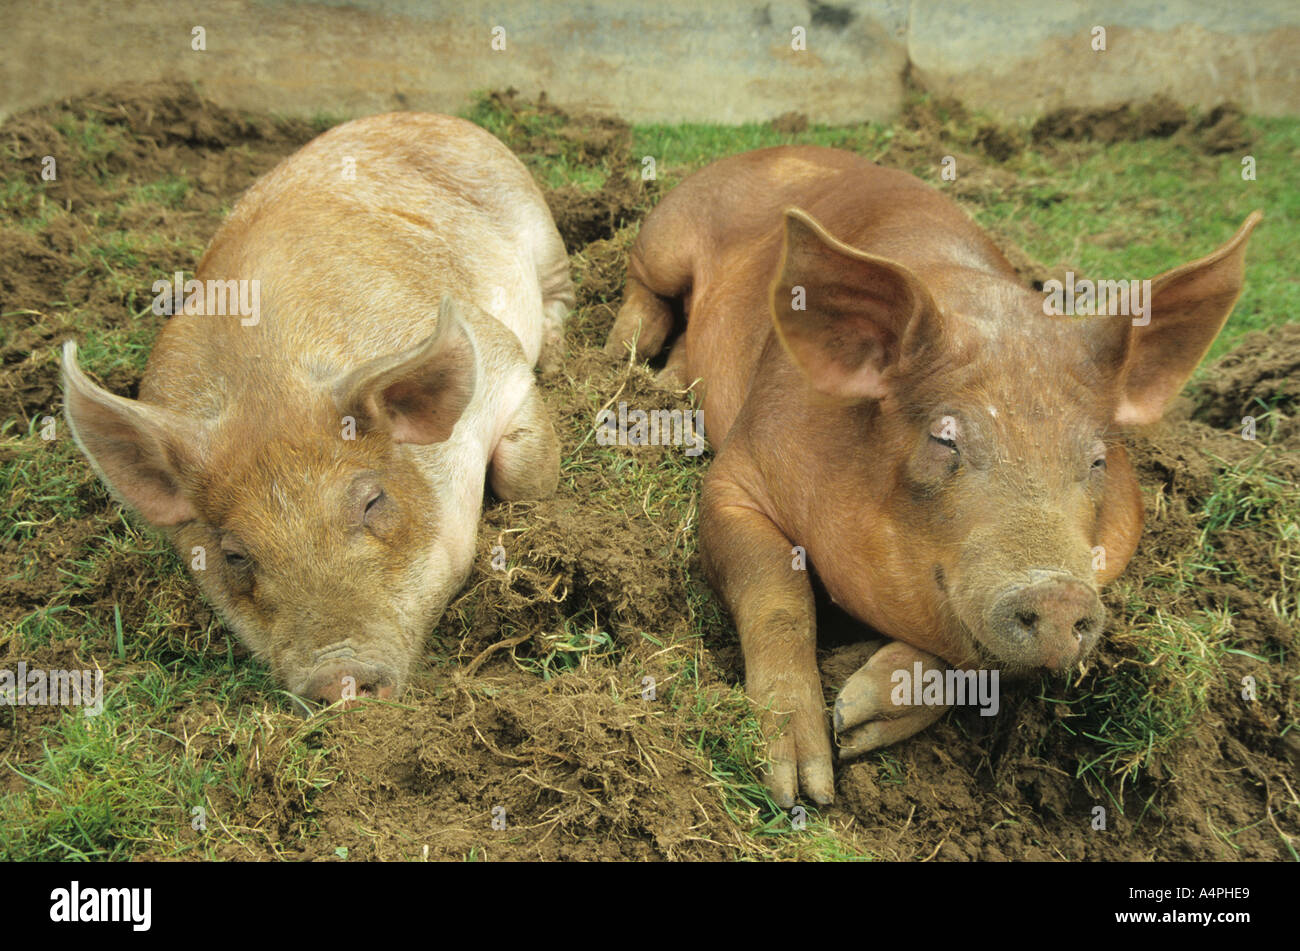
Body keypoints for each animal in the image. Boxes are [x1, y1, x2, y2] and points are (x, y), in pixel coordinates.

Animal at [62, 113, 573, 703]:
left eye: (372, 502)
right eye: (234, 553)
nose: (337, 677)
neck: (266, 383)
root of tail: (416, 116)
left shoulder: (502, 365)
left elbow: (525, 476)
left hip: (537, 224)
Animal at [606, 145, 1260, 807]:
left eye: (1096, 460)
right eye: (945, 439)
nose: (1058, 593)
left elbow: (971, 660)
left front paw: (853, 720)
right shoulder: (741, 474)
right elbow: (776, 591)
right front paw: (803, 783)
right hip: (668, 235)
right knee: (648, 289)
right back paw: (625, 363)